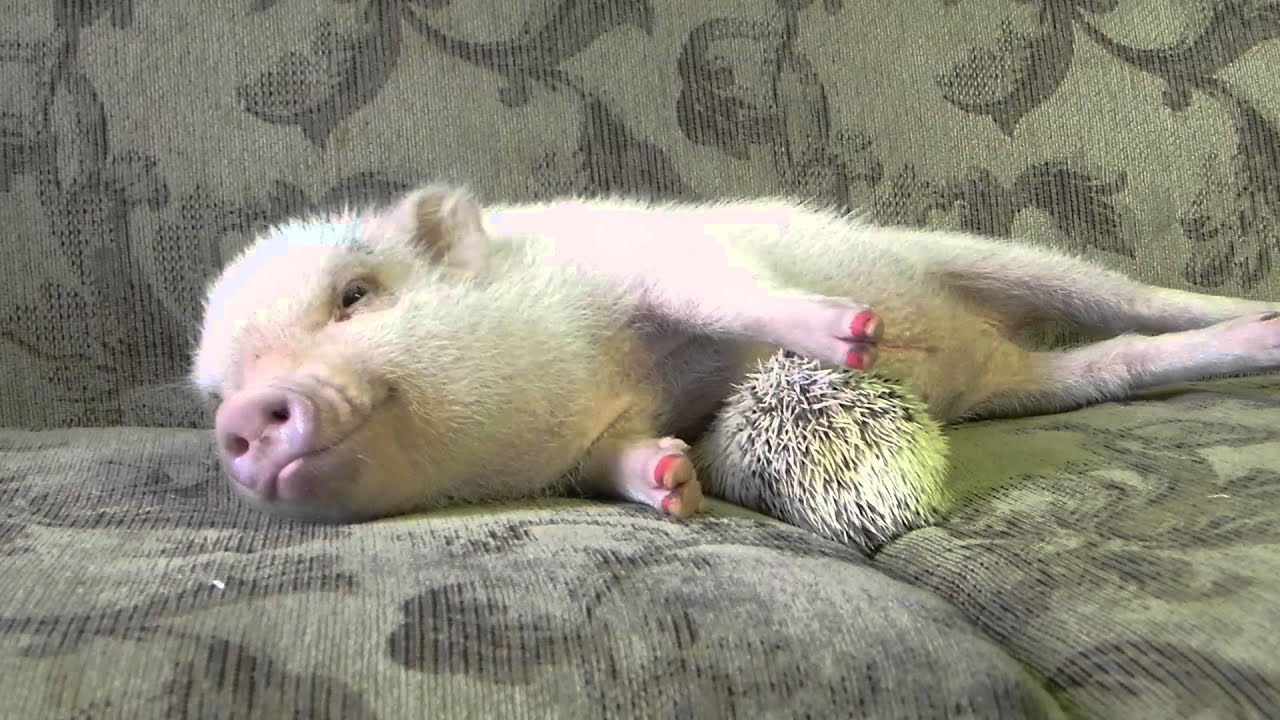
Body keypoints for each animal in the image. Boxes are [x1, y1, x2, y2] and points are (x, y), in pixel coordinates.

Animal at [191, 182, 1280, 523]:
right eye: (215, 389)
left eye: (355, 294)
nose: (242, 416)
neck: (589, 376)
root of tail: (984, 350)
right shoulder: (595, 440)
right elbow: (620, 464)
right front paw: (674, 485)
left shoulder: (646, 259)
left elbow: (714, 288)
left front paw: (850, 335)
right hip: (1034, 383)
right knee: (1120, 359)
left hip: (994, 259)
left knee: (1132, 297)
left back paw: (1259, 317)